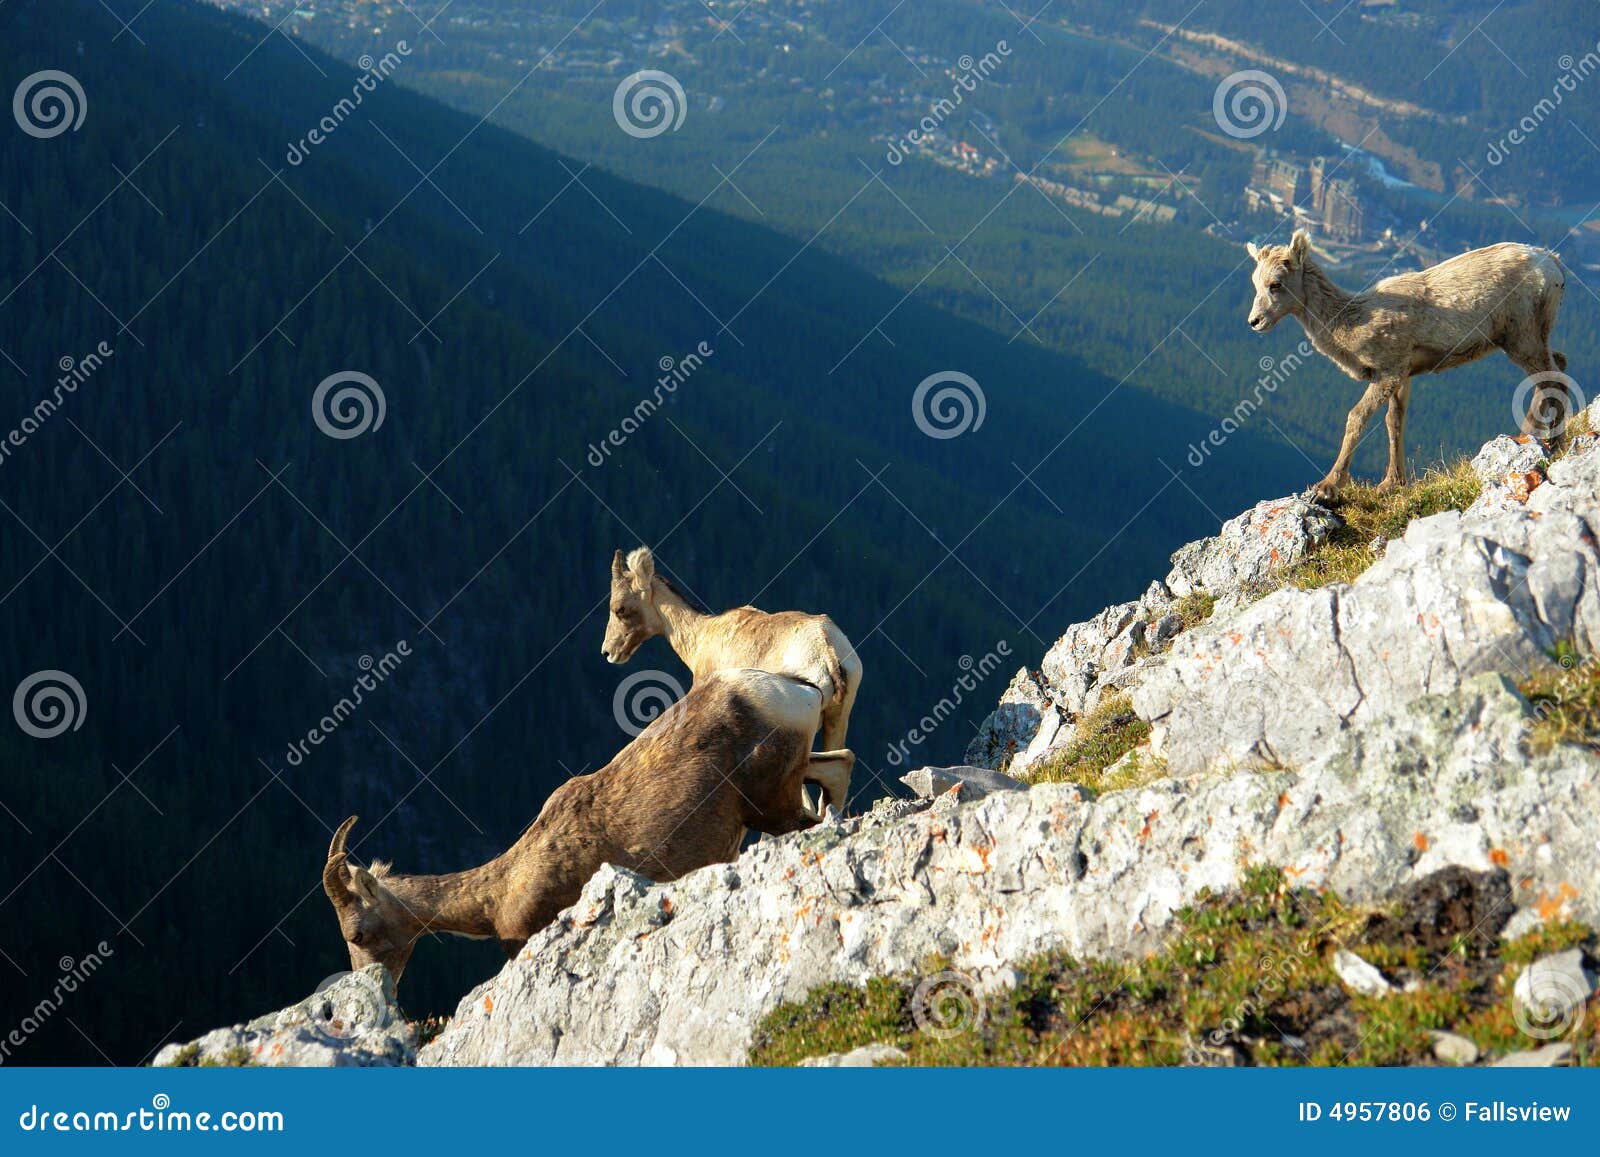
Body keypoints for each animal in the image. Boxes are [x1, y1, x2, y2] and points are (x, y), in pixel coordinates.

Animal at [321, 668, 854, 987]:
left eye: (358, 933)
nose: (373, 986)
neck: (503, 891)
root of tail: (797, 689)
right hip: (792, 779)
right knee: (840, 765)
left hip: (772, 804)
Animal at [1246, 230, 1568, 502]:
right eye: (1254, 283)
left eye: (1276, 284)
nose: (1255, 322)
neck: (1353, 322)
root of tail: (1554, 264)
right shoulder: (1404, 375)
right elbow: (1394, 421)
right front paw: (1391, 484)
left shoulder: (1388, 372)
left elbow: (1357, 417)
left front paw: (1327, 488)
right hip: (1530, 337)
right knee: (1556, 368)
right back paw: (1533, 437)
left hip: (1521, 337)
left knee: (1553, 380)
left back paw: (1552, 445)